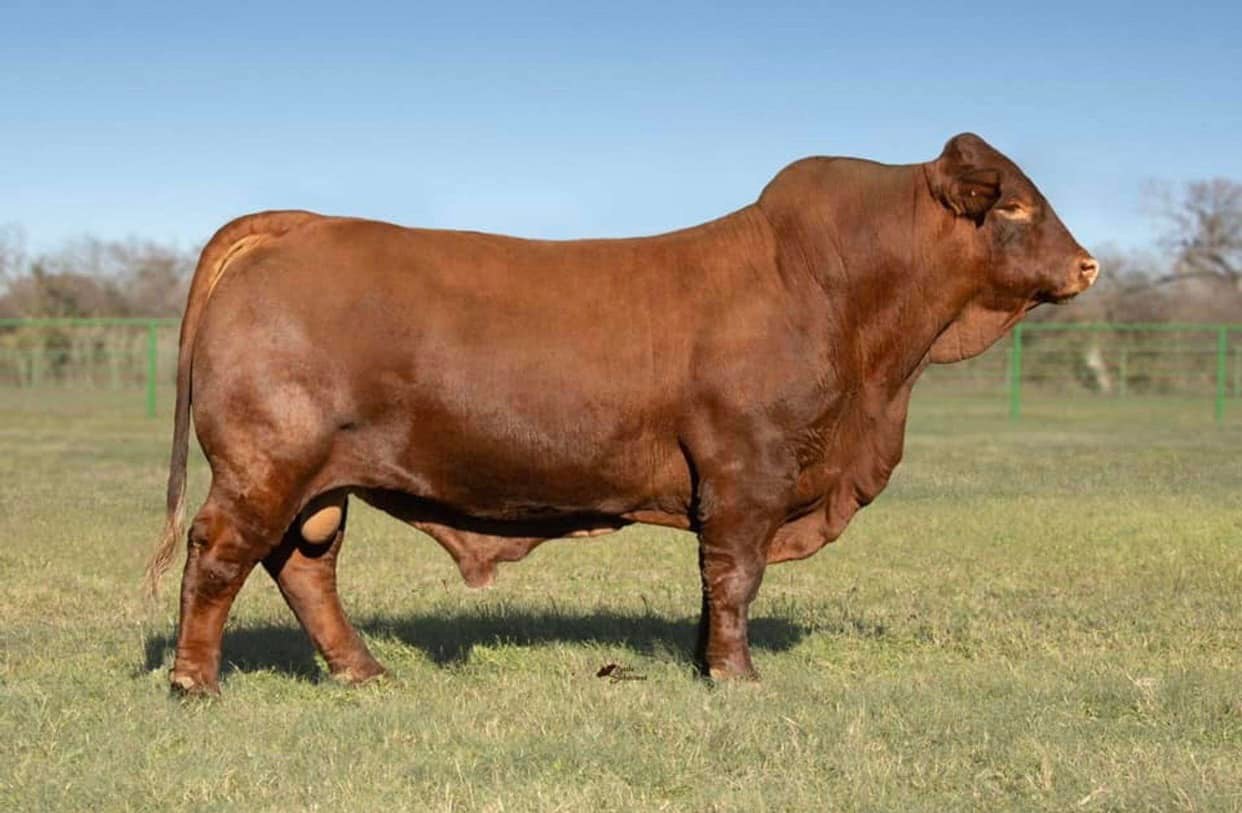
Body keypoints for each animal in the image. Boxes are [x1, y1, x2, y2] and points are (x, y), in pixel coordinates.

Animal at [146, 133, 1098, 696]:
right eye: (1014, 205)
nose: (1088, 264)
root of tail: (299, 225)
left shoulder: (727, 486)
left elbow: (714, 582)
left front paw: (705, 661)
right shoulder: (747, 469)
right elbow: (737, 575)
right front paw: (737, 677)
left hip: (315, 482)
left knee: (302, 567)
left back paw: (364, 671)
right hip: (268, 462)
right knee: (220, 554)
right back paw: (196, 683)